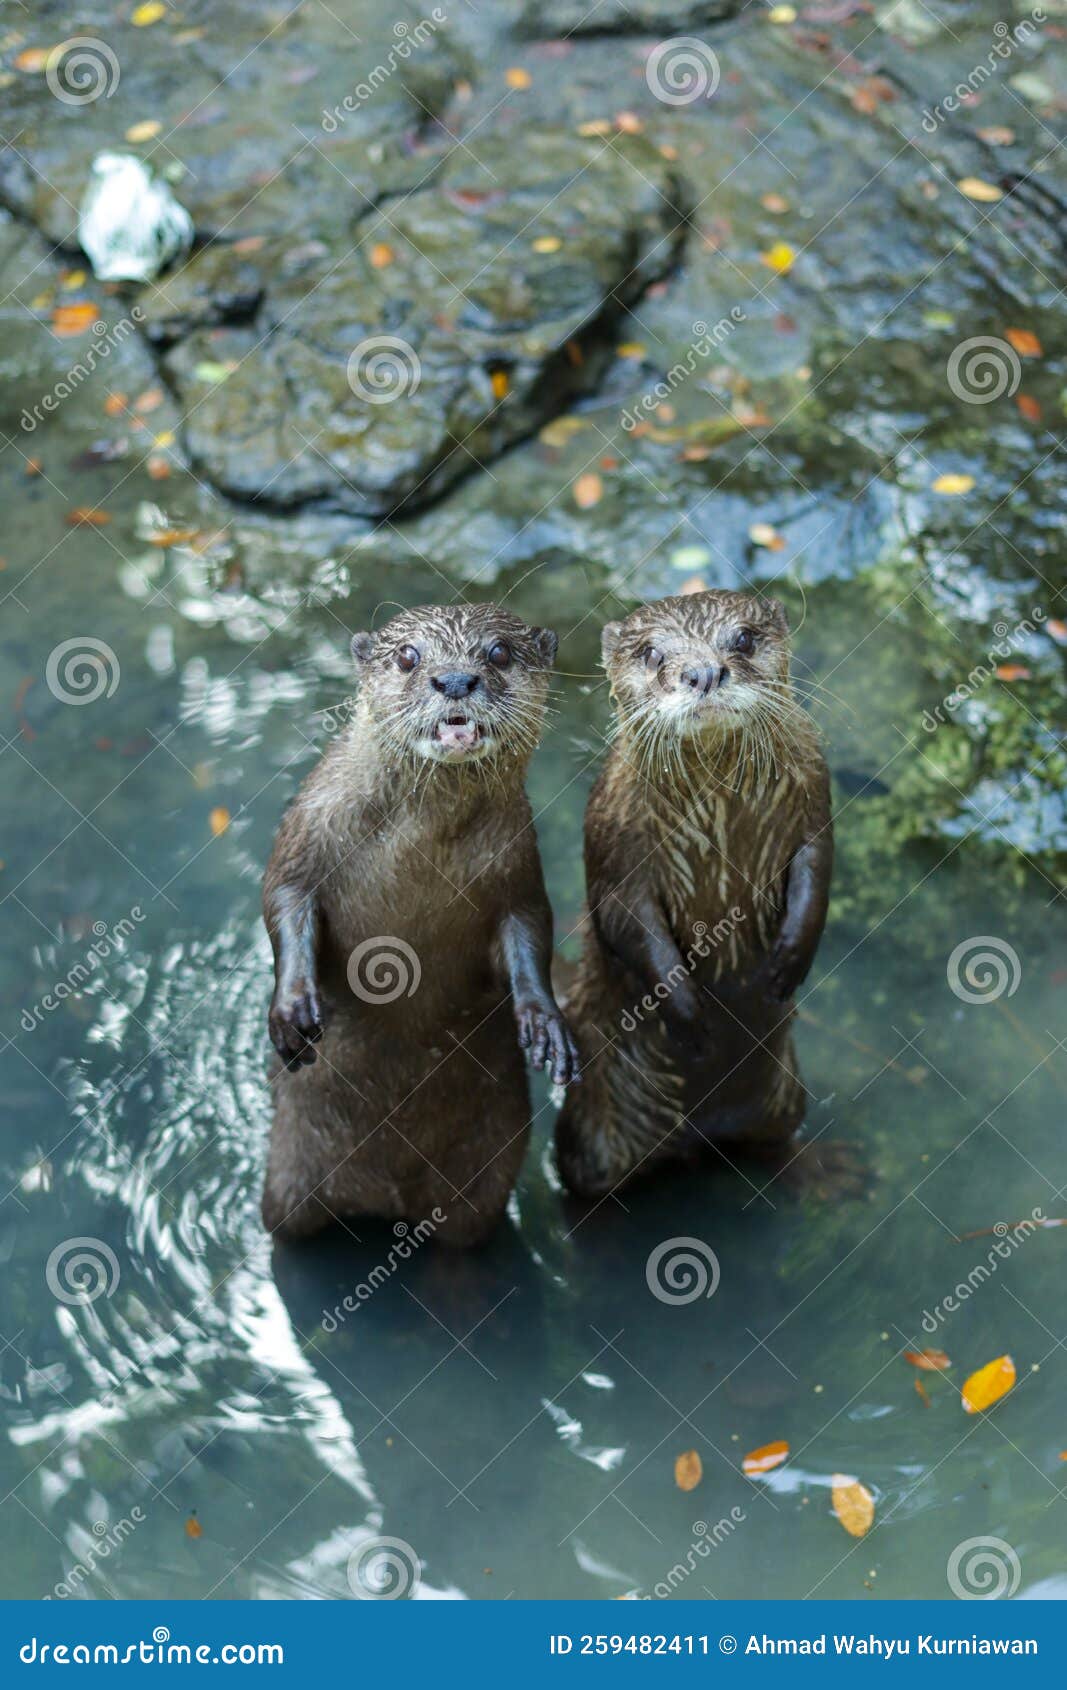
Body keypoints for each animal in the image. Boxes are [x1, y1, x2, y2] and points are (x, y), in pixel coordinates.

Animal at [262, 603, 579, 1246]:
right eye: (408, 656)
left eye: (499, 652)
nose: (455, 680)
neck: (419, 847)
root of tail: (386, 1199)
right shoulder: (309, 827)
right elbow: (283, 898)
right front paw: (293, 1008)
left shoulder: (516, 867)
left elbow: (529, 931)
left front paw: (544, 1022)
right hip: (287, 1180)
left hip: (482, 1186)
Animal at [554, 588, 832, 1198]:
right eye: (653, 653)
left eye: (745, 638)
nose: (703, 672)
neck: (719, 818)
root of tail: (697, 1138)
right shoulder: (613, 841)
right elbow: (627, 923)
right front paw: (687, 1012)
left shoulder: (813, 796)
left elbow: (818, 875)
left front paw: (789, 960)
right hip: (593, 1140)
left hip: (784, 1099)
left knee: (778, 1141)